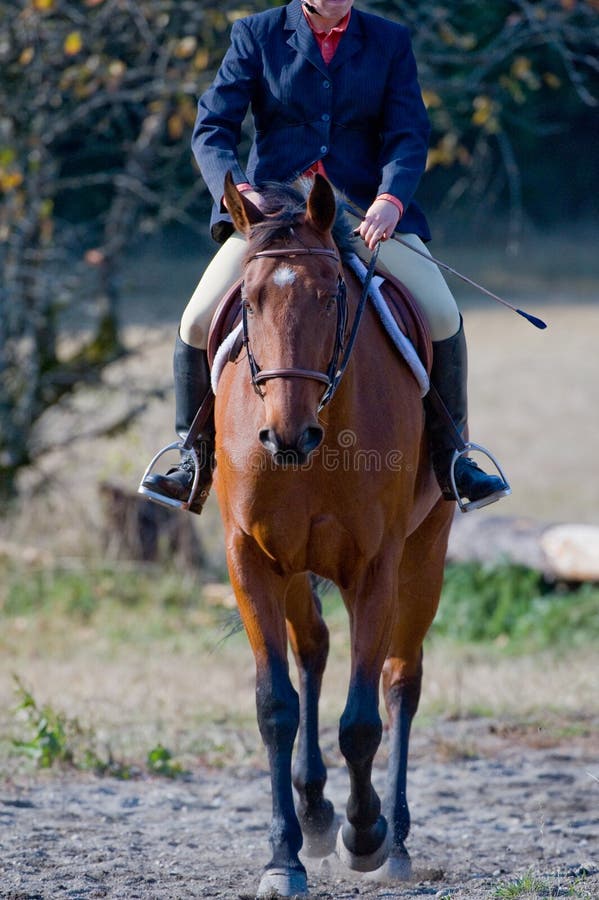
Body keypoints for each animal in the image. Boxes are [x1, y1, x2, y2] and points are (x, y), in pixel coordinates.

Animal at [212, 171, 454, 897]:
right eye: (250, 302)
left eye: (329, 297)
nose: (286, 435)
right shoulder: (252, 559)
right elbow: (276, 706)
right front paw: (283, 857)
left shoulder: (375, 566)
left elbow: (361, 721)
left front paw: (365, 834)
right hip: (294, 568)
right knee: (313, 649)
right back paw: (315, 811)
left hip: (424, 552)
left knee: (400, 680)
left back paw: (393, 840)